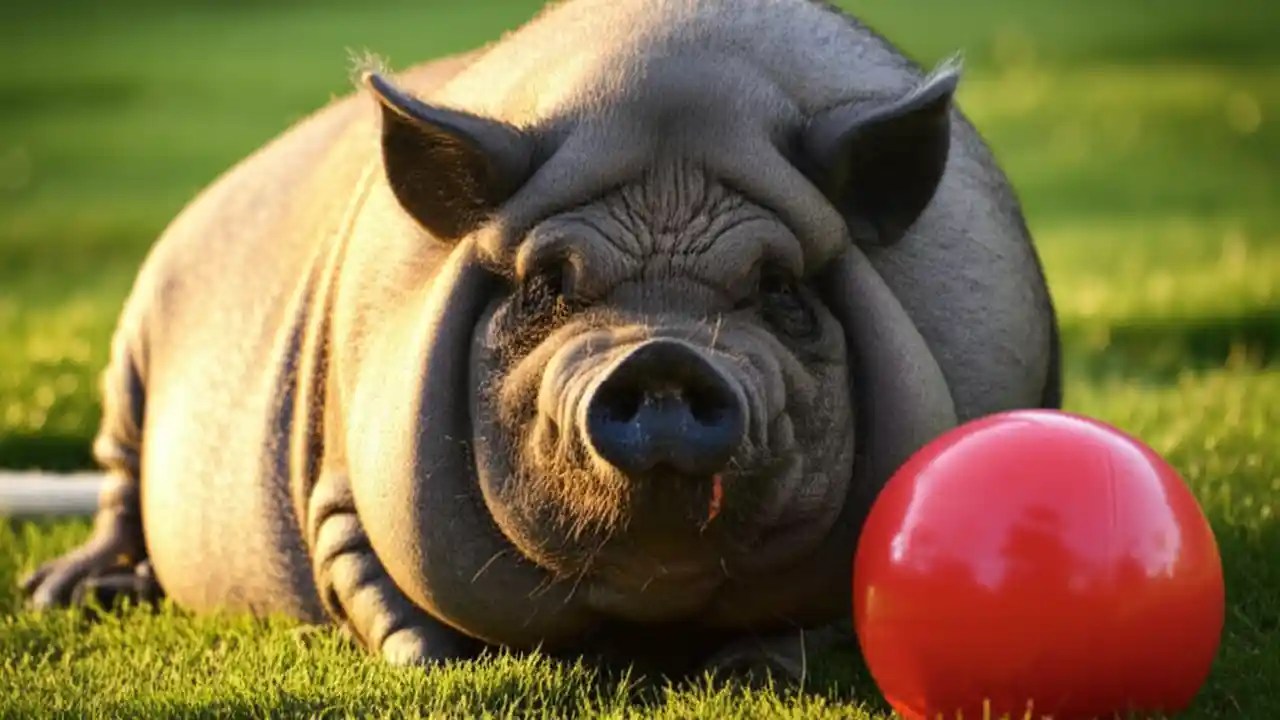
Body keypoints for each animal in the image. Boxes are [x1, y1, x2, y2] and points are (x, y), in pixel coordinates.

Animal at [23, 0, 1060, 677]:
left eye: (777, 288)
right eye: (546, 286)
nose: (663, 355)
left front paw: (744, 673)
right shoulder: (335, 481)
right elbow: (365, 574)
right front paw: (438, 668)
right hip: (133, 344)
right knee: (119, 479)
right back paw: (67, 594)